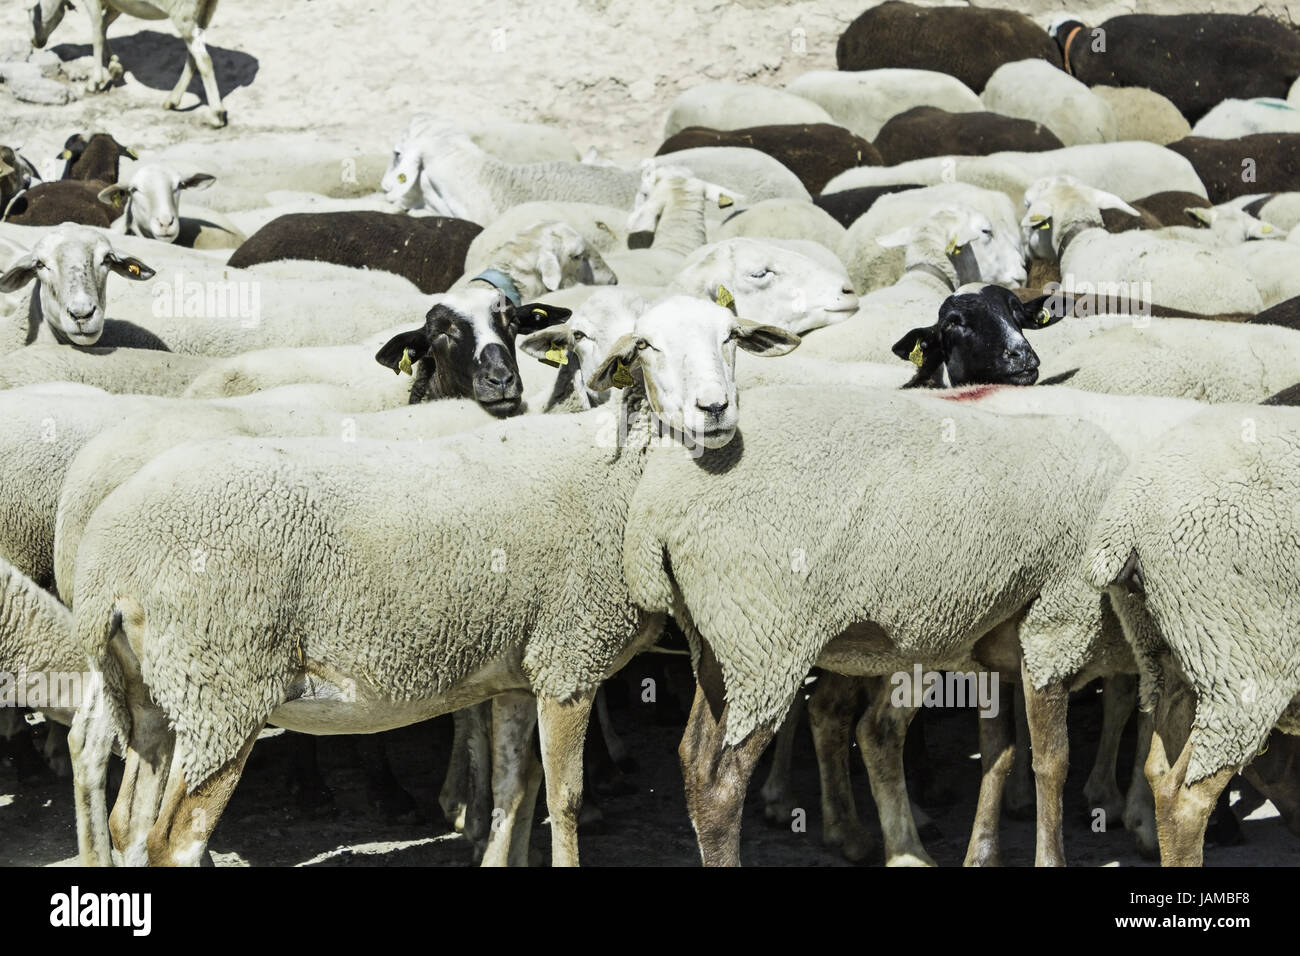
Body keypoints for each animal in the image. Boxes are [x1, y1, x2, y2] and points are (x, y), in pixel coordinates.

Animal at [29, 0, 229, 127]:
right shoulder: (116, 5)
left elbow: (96, 32)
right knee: (193, 57)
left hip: (184, 14)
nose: (35, 42)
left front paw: (95, 82)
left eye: (32, 11)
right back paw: (172, 100)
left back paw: (216, 115)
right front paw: (113, 66)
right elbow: (103, 28)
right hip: (204, 13)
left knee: (203, 59)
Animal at [65, 295, 800, 867]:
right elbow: (563, 802)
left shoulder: (518, 672)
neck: (617, 473)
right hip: (223, 692)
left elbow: (513, 794)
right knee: (174, 841)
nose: (714, 408)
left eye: (731, 338)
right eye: (645, 348)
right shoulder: (568, 659)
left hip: (157, 697)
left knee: (131, 823)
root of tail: (110, 558)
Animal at [621, 383, 1127, 865]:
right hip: (764, 635)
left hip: (723, 637)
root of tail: (653, 510)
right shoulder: (1057, 623)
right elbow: (1053, 761)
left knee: (696, 758)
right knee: (722, 782)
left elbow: (1001, 753)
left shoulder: (1000, 648)